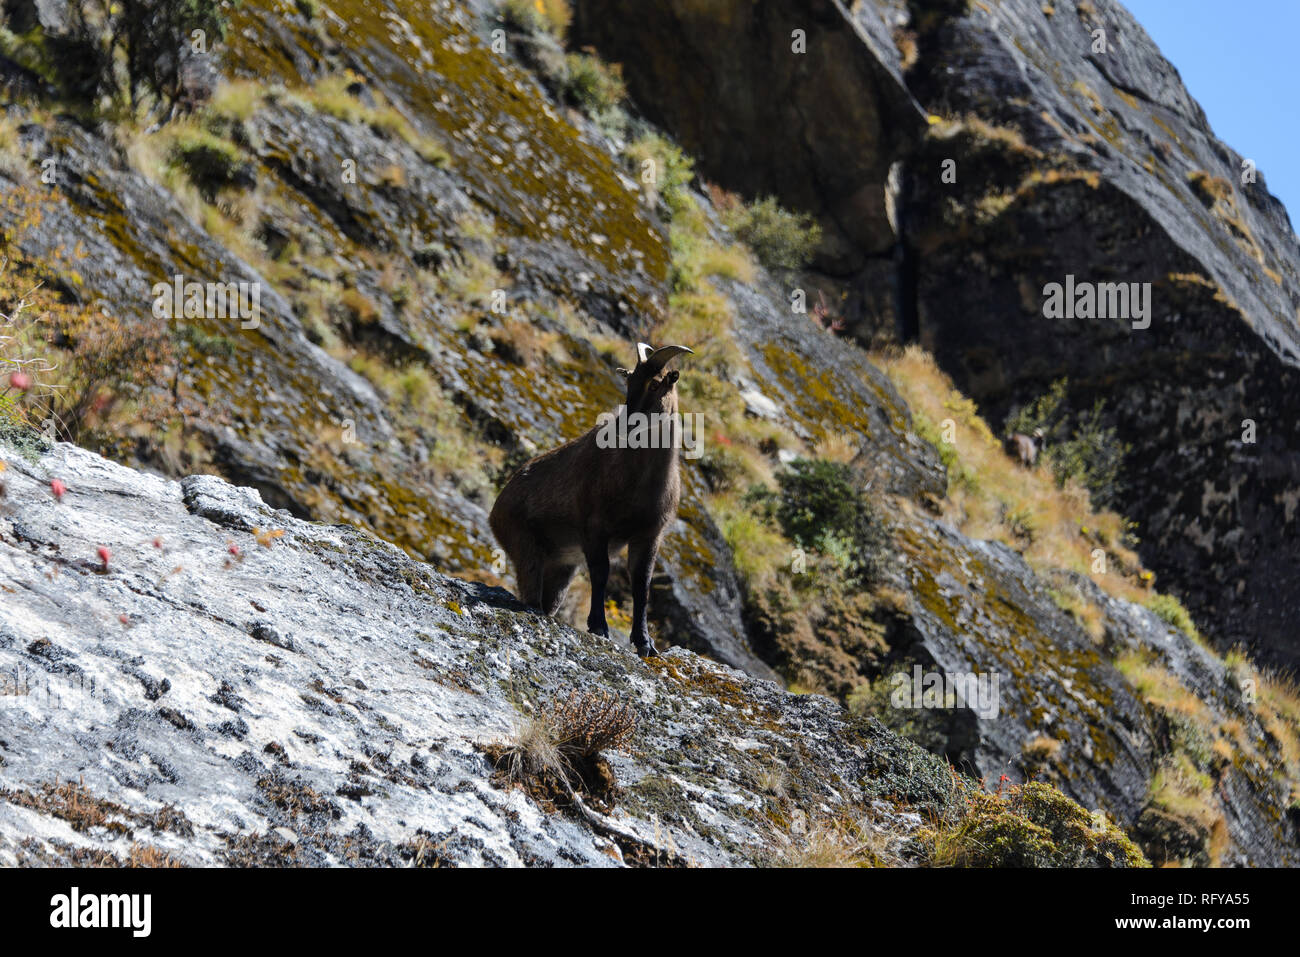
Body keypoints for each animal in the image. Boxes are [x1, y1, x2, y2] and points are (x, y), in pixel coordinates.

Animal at [489, 342, 694, 657]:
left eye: (656, 383)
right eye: (629, 381)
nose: (624, 424)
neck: (639, 481)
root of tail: (496, 510)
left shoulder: (649, 535)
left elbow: (641, 584)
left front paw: (645, 643)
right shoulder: (595, 528)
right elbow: (600, 574)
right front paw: (599, 627)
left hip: (561, 569)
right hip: (525, 546)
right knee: (530, 594)